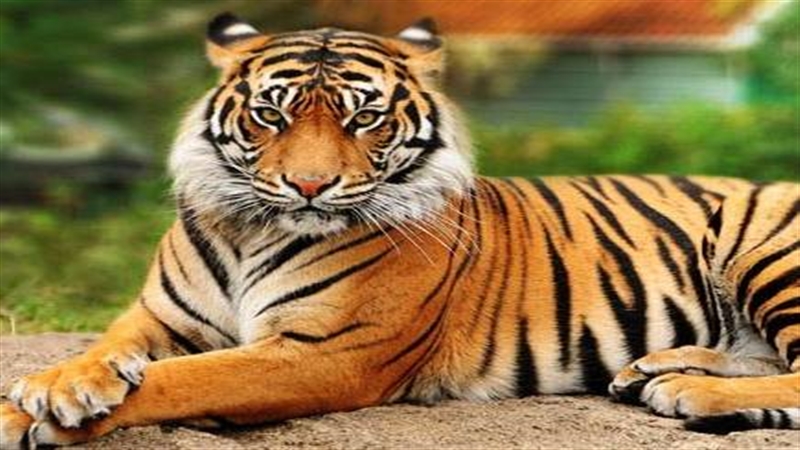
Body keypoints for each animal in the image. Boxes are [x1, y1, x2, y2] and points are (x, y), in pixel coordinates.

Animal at [1, 13, 799, 448]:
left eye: (364, 117)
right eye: (271, 114)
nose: (310, 186)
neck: (250, 231)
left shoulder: (325, 353)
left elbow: (181, 380)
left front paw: (42, 417)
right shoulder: (156, 317)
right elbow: (106, 353)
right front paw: (56, 387)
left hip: (761, 247)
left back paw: (685, 392)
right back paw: (654, 368)